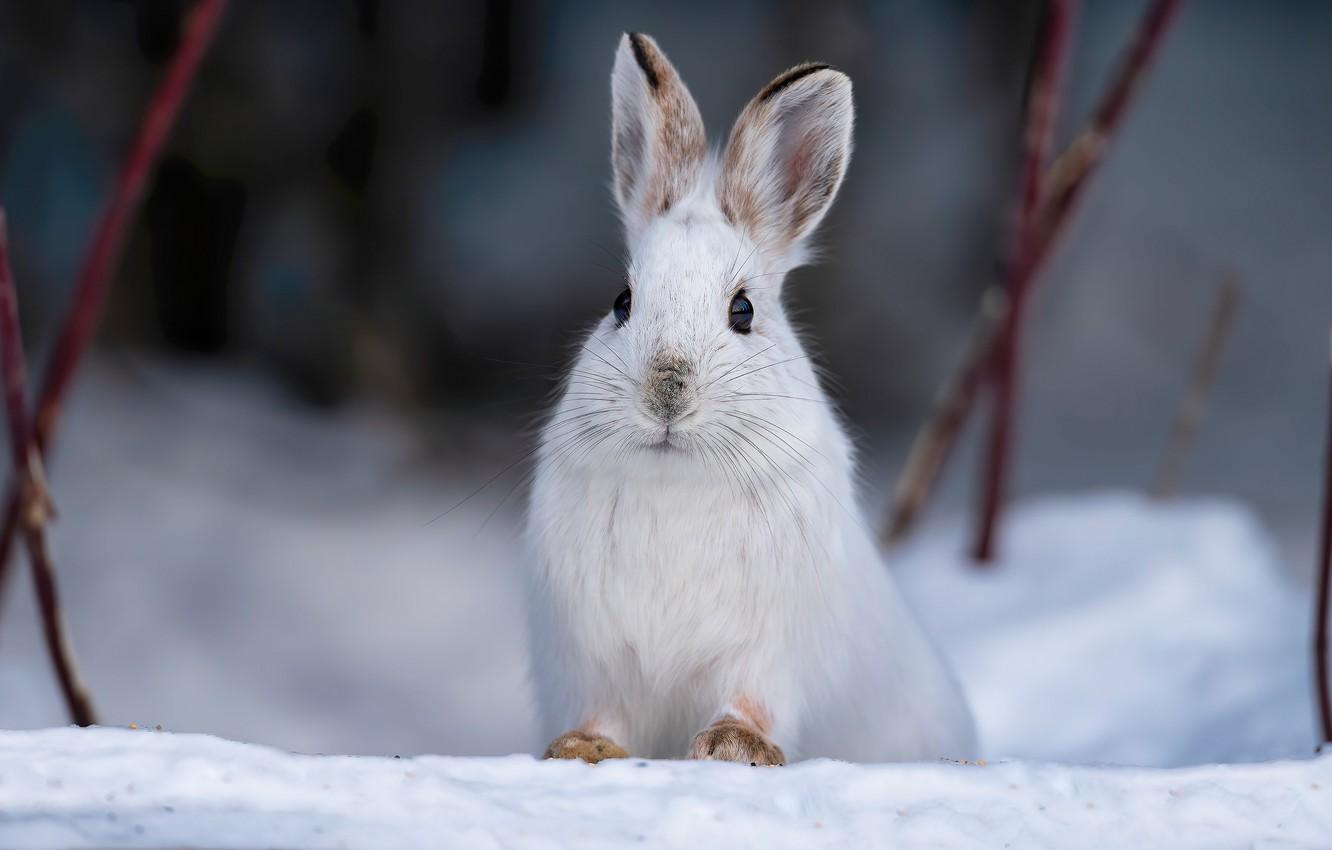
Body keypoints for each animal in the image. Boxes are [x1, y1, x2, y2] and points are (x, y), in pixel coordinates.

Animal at [526, 32, 976, 765]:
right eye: (622, 302)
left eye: (743, 310)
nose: (668, 390)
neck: (677, 480)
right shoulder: (593, 659)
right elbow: (603, 711)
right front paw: (581, 748)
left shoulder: (769, 652)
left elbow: (751, 701)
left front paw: (733, 747)